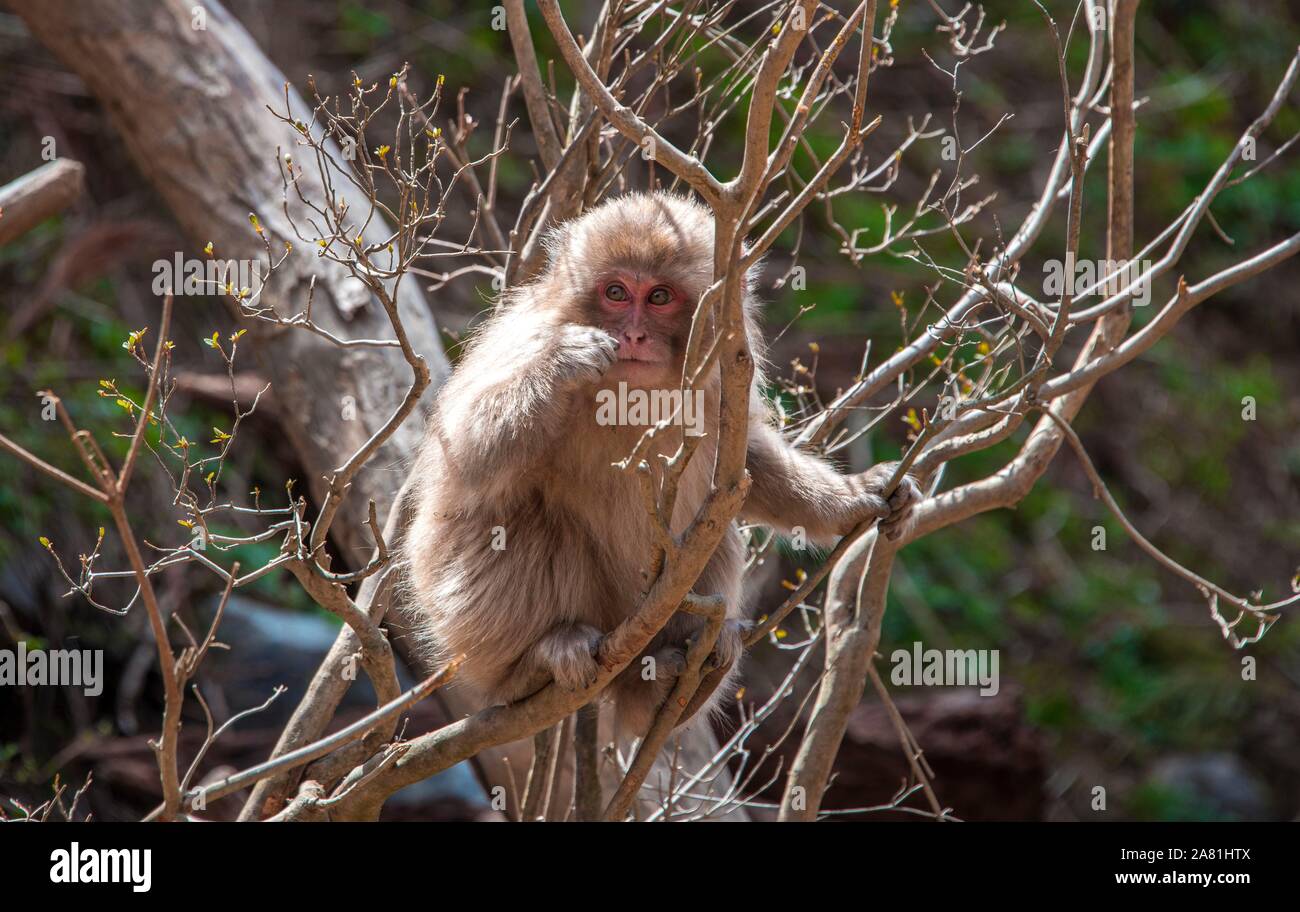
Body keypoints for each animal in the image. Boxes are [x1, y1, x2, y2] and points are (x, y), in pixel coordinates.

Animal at [400, 192, 921, 738]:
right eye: (615, 292)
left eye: (659, 297)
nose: (631, 335)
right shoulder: (526, 338)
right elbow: (465, 460)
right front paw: (565, 364)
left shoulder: (725, 375)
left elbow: (744, 466)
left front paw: (854, 498)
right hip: (460, 619)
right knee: (518, 520)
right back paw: (538, 661)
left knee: (709, 531)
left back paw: (669, 678)